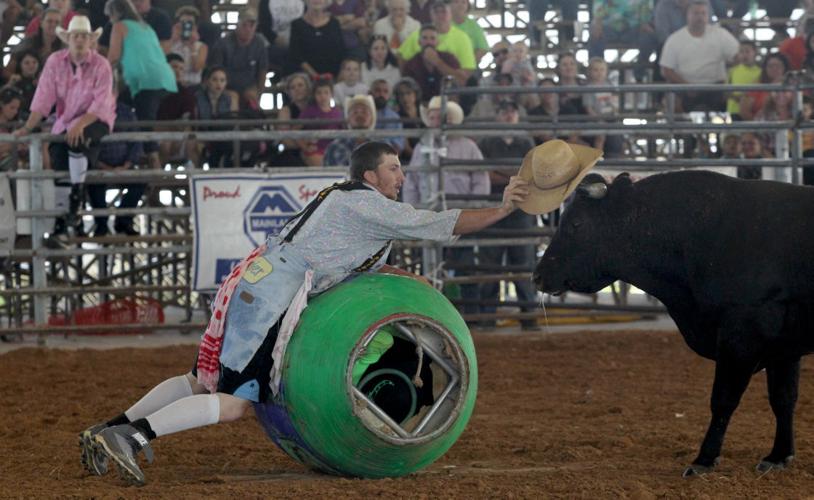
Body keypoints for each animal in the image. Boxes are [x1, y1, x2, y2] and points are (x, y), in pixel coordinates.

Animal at [533, 170, 814, 477]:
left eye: (575, 224)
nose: (538, 275)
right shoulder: (784, 346)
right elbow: (783, 399)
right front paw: (779, 456)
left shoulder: (741, 334)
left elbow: (723, 400)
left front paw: (704, 460)